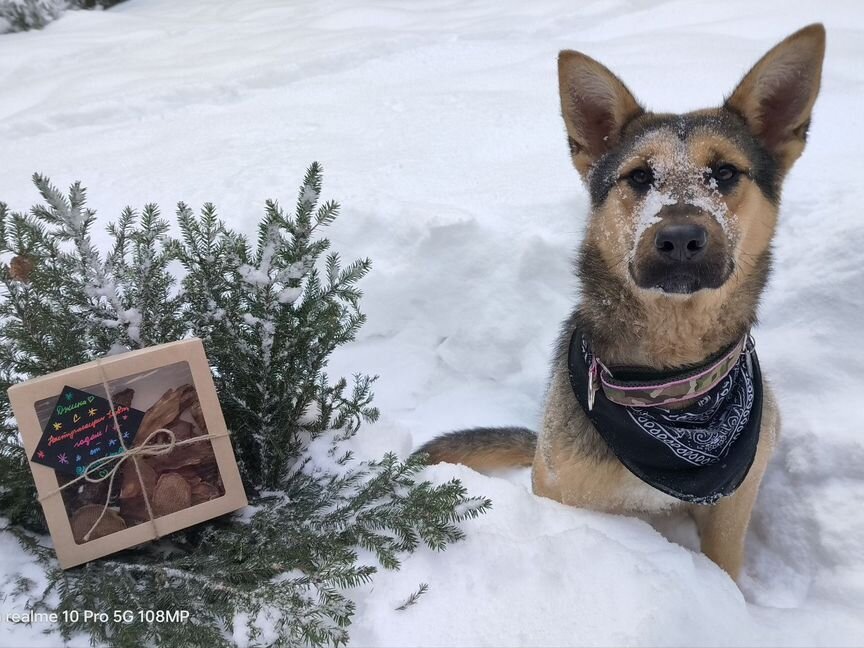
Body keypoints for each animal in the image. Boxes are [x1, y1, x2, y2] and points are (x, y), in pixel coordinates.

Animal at [416, 26, 828, 584]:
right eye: (638, 176)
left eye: (724, 172)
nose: (680, 238)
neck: (671, 387)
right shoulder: (567, 491)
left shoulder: (732, 501)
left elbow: (724, 567)